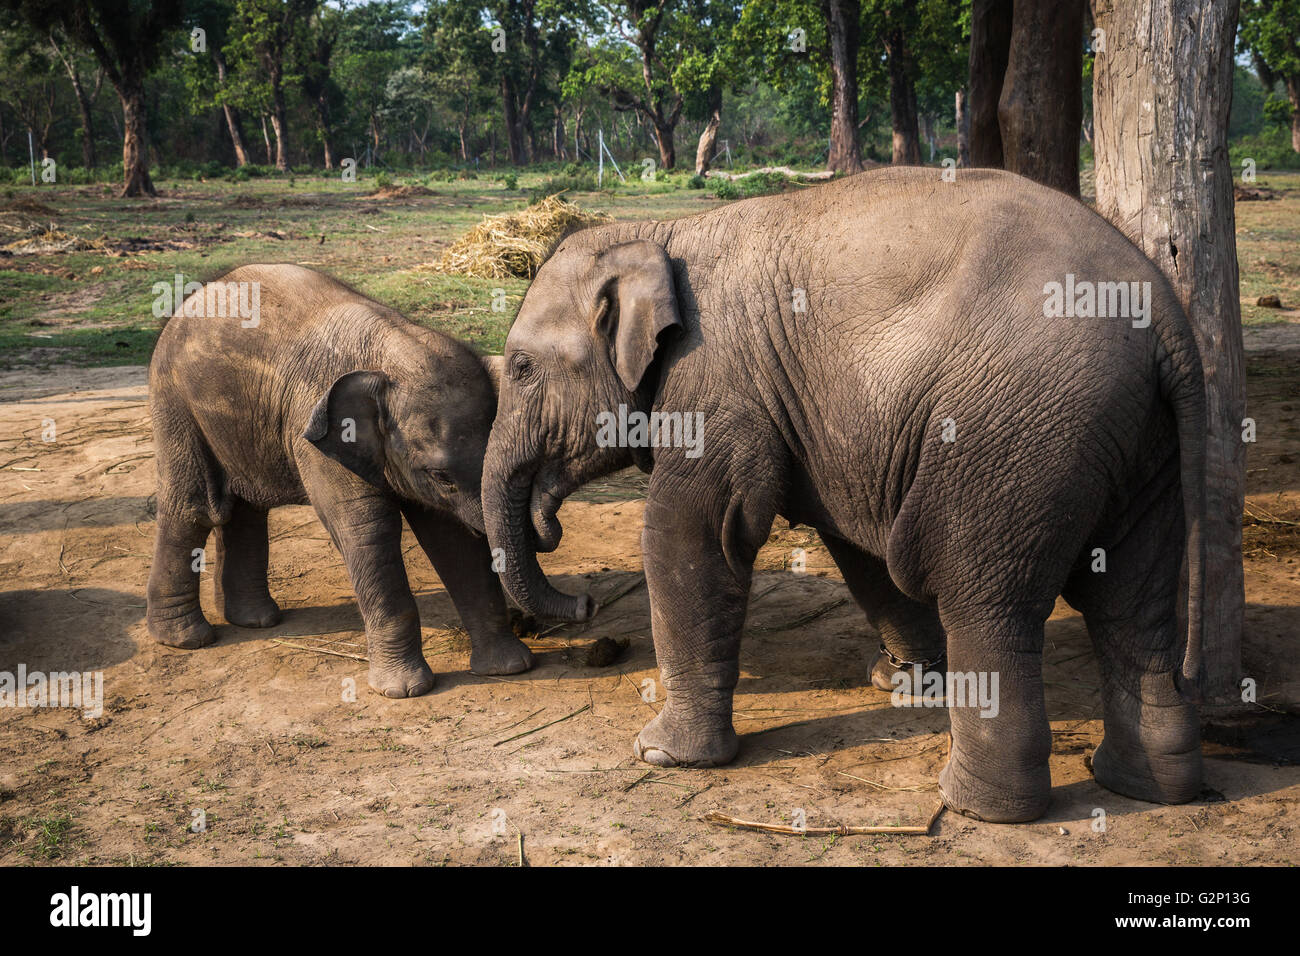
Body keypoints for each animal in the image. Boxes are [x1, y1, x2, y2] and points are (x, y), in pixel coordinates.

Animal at [147, 263, 533, 697]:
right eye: (440, 476)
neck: (390, 355)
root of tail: (194, 296)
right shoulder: (317, 438)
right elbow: (367, 531)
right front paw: (403, 690)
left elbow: (451, 538)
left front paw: (507, 668)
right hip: (175, 401)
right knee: (195, 505)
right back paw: (186, 639)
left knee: (246, 508)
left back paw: (255, 620)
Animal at [482, 167, 1207, 823]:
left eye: (519, 368)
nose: (582, 601)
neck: (659, 236)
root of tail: (1166, 321)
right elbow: (856, 544)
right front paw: (903, 685)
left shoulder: (719, 383)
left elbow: (692, 530)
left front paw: (661, 755)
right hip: (1140, 445)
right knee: (1131, 603)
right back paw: (1142, 787)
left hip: (1017, 437)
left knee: (984, 600)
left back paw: (974, 806)